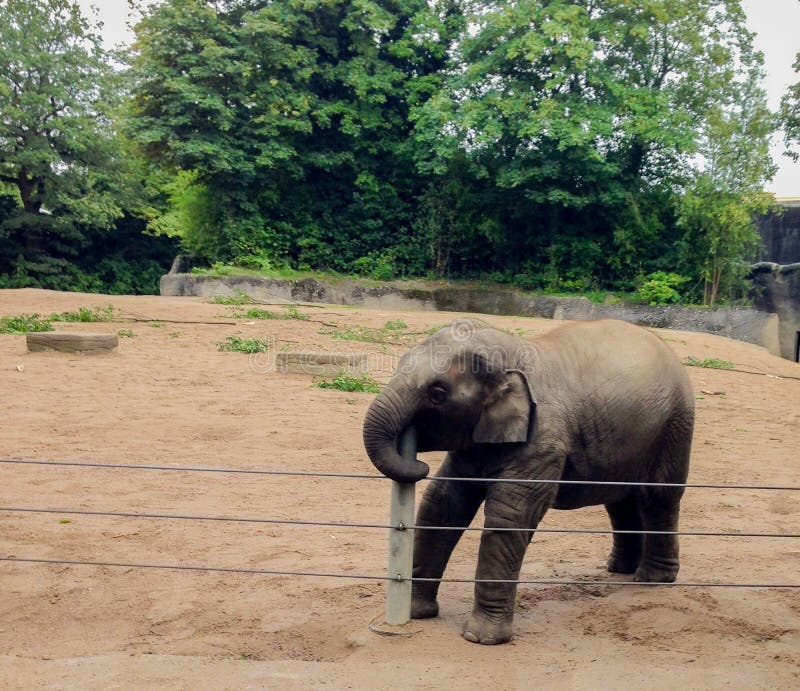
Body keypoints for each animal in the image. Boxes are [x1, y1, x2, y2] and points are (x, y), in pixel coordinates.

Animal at [363, 318, 694, 645]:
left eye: (438, 393)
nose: (419, 461)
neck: (513, 349)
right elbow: (442, 504)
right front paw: (418, 613)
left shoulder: (544, 440)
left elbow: (508, 515)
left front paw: (481, 639)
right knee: (619, 501)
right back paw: (619, 570)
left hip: (675, 426)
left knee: (657, 498)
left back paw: (652, 579)